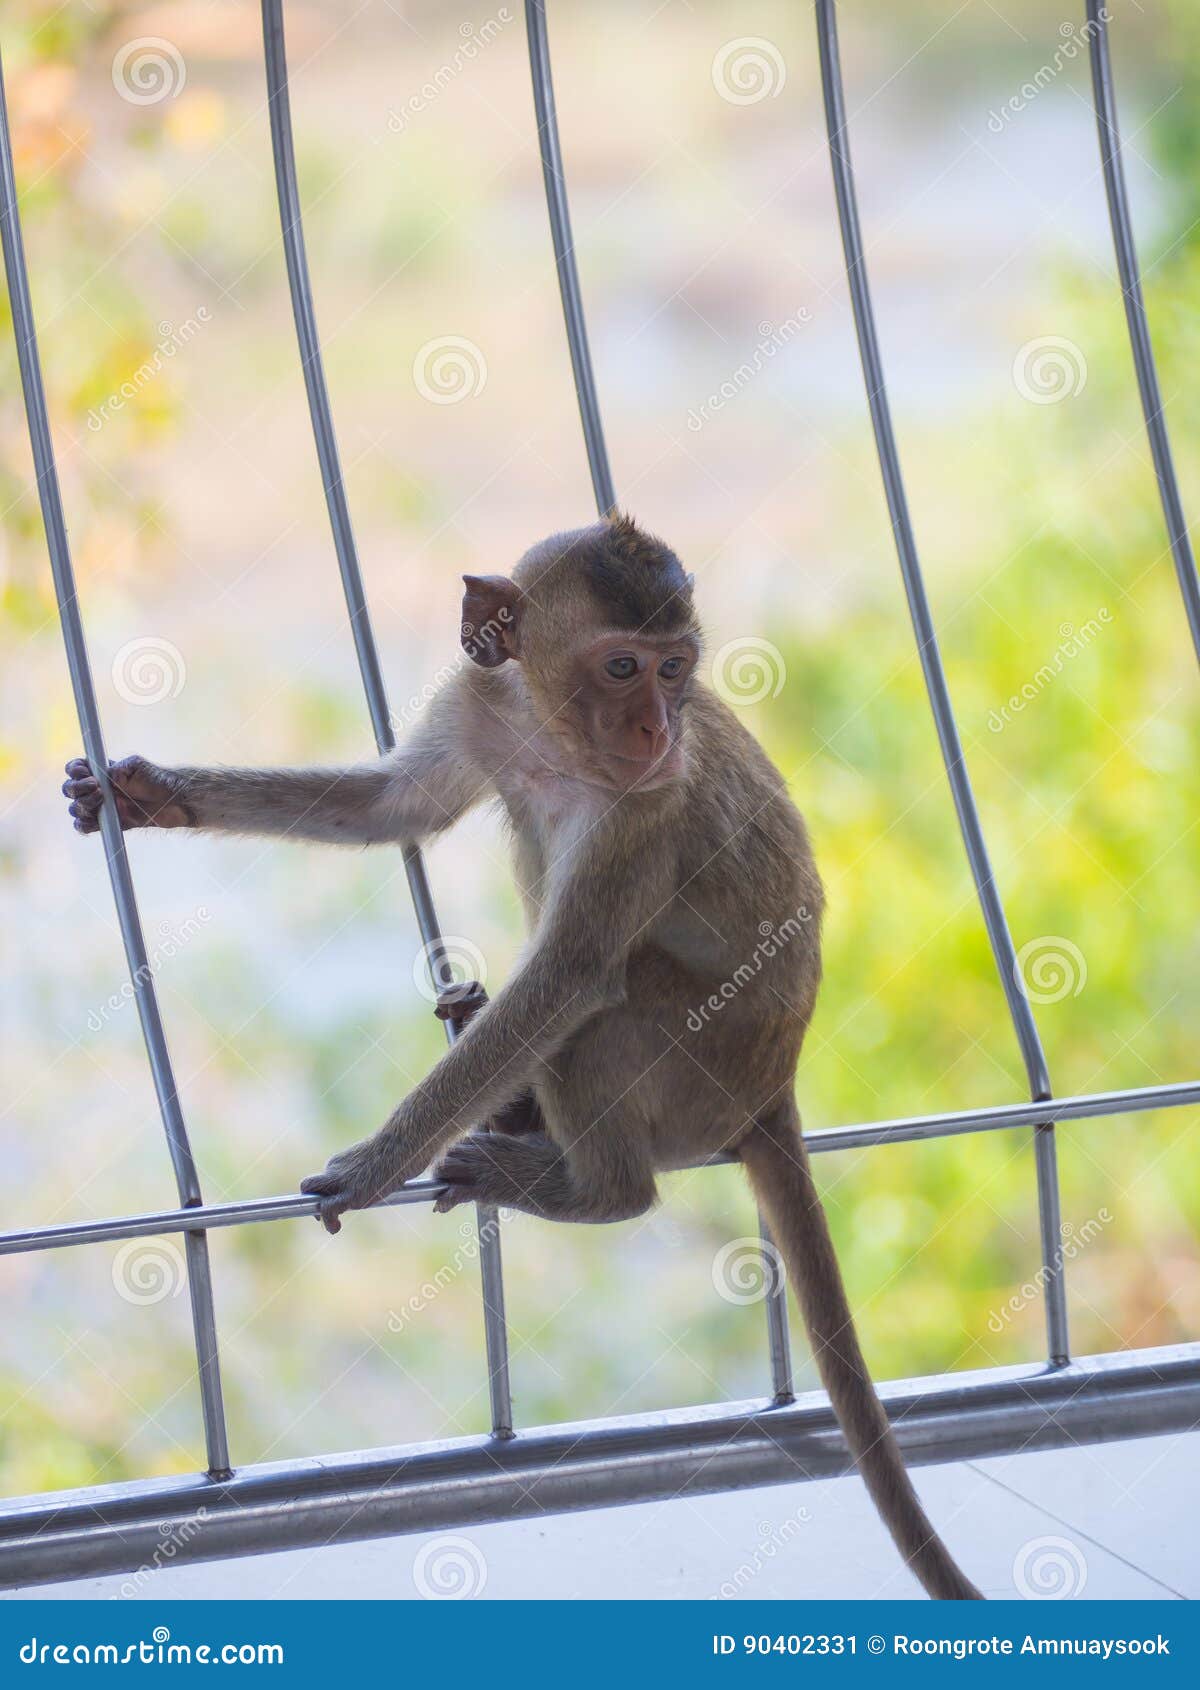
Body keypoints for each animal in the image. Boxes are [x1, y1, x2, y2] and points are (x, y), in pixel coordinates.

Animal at [63, 513, 981, 1600]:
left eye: (675, 670)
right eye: (624, 666)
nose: (655, 729)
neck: (550, 735)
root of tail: (774, 1089)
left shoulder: (642, 809)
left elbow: (571, 980)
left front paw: (379, 1161)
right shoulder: (477, 703)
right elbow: (392, 806)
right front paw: (152, 793)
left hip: (699, 1078)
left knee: (609, 1020)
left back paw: (591, 1186)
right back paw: (500, 1083)